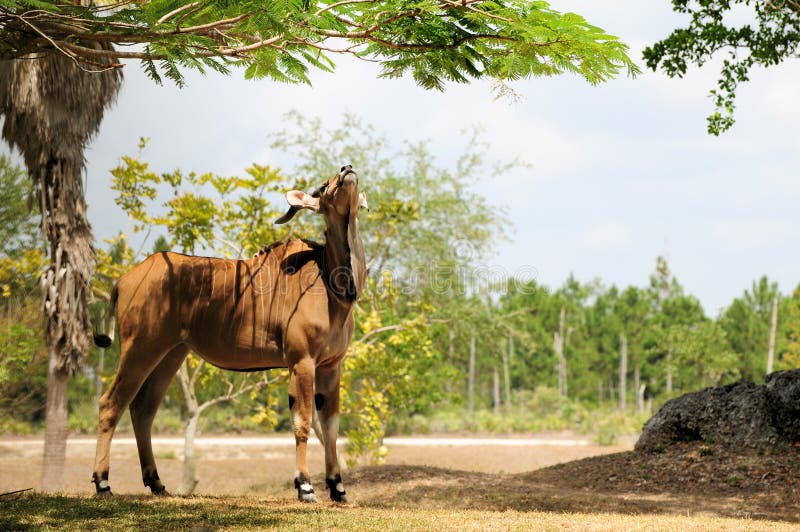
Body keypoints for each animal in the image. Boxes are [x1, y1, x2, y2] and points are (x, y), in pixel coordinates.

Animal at [91, 165, 367, 502]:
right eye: (324, 186)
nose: (347, 169)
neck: (329, 279)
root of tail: (124, 280)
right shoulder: (302, 361)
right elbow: (302, 422)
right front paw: (305, 486)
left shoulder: (331, 366)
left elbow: (330, 427)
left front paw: (338, 487)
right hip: (139, 349)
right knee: (110, 403)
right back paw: (103, 483)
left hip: (170, 355)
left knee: (142, 409)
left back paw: (156, 483)